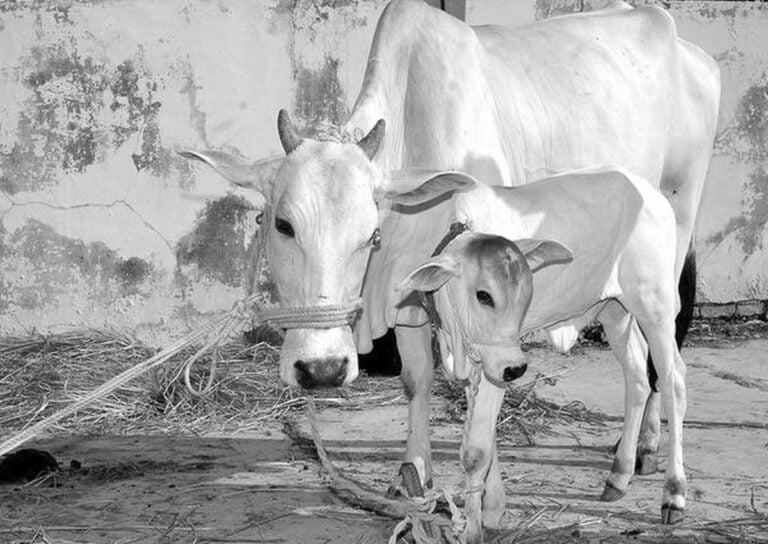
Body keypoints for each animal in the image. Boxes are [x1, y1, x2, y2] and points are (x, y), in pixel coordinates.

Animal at [398, 165, 683, 542]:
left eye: (526, 294)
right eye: (483, 295)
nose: (518, 369)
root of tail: (651, 194)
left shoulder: (496, 364)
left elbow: (475, 450)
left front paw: (474, 527)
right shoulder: (478, 363)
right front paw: (490, 508)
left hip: (656, 306)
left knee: (673, 381)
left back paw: (674, 494)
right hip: (614, 310)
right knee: (637, 376)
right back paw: (619, 476)